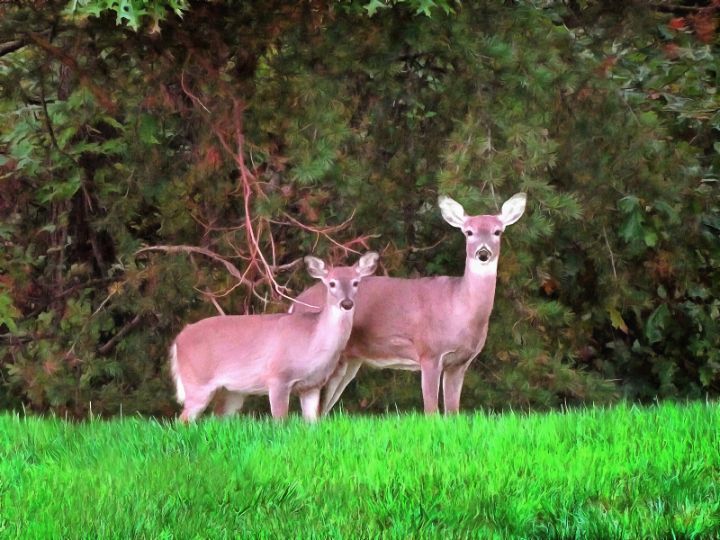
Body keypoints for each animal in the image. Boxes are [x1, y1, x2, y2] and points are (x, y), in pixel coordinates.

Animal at [170, 251, 379, 422]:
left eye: (356, 282)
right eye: (332, 283)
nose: (346, 303)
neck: (313, 342)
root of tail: (178, 339)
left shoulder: (312, 385)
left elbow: (312, 423)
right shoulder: (278, 377)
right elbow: (280, 422)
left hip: (231, 391)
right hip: (197, 382)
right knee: (182, 421)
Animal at [290, 193, 526, 415]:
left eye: (497, 231)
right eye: (468, 232)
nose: (483, 253)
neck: (459, 307)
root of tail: (295, 304)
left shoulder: (460, 363)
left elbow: (453, 412)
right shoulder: (429, 352)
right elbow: (432, 411)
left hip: (350, 362)